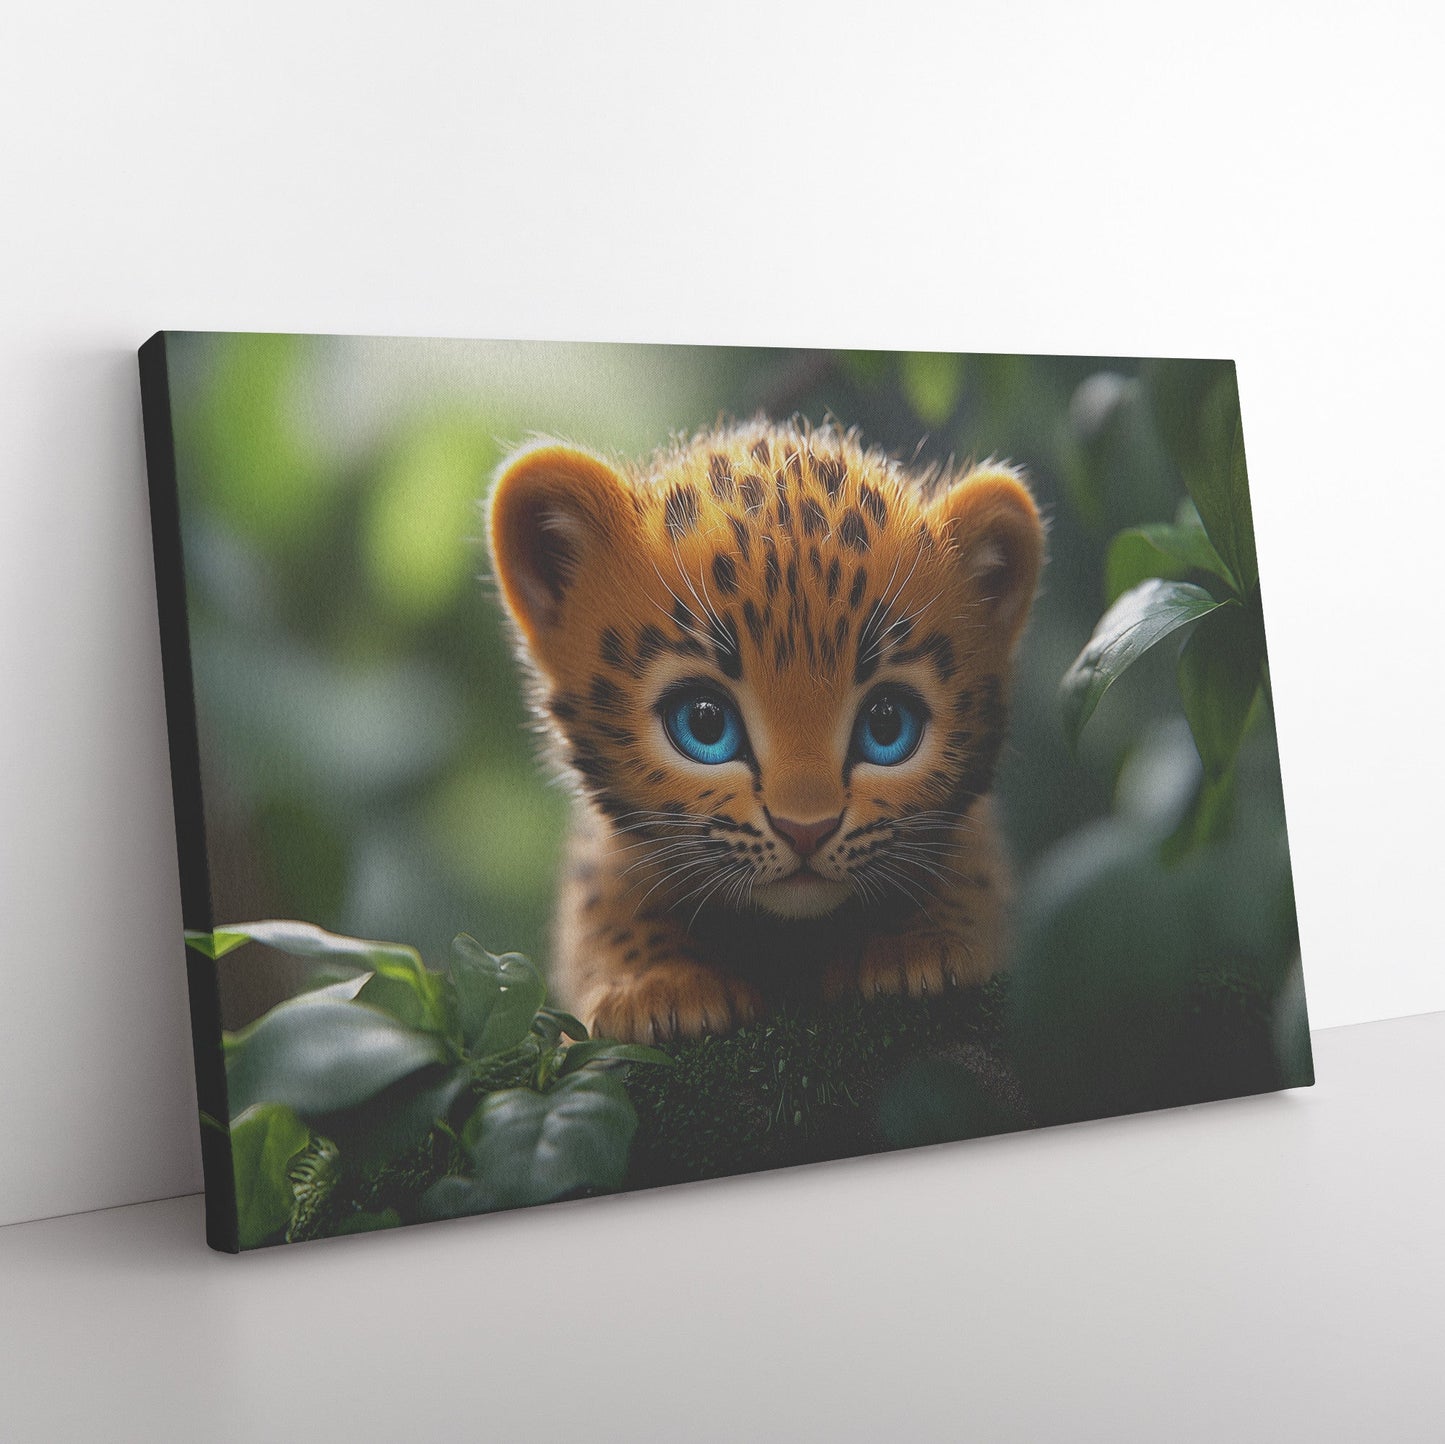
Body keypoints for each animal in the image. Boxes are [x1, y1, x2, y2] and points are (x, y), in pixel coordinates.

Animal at [486, 418, 1044, 1044]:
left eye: (887, 724)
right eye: (704, 723)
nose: (806, 830)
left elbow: (969, 877)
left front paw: (918, 947)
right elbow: (607, 909)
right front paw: (658, 986)